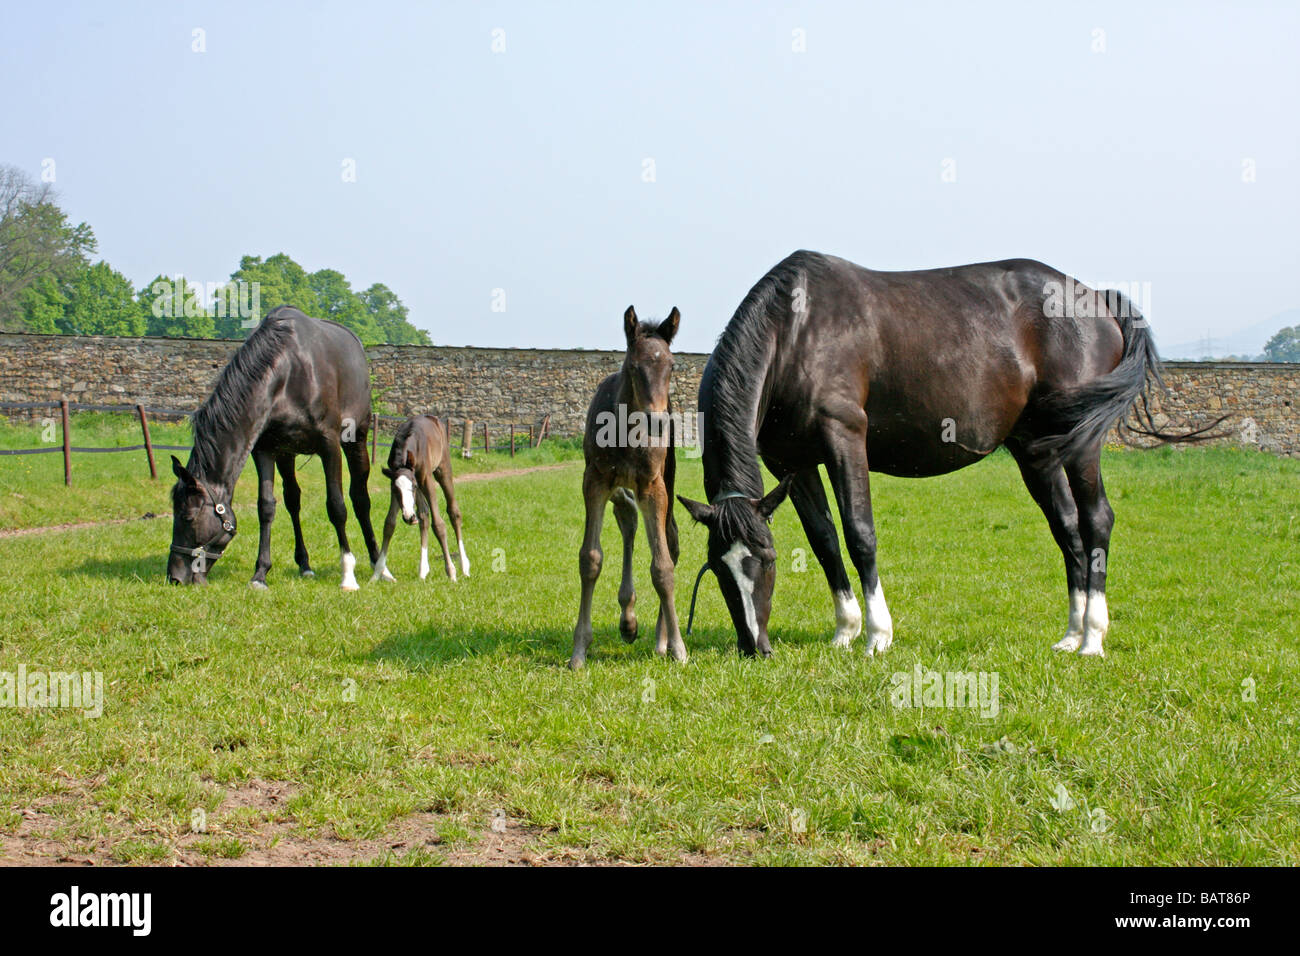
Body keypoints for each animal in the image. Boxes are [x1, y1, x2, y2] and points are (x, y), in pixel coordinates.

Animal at [167, 305, 380, 590]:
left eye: (187, 517)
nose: (175, 577)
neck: (288, 372)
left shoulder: (330, 446)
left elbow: (337, 506)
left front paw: (348, 575)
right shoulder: (264, 450)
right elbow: (266, 507)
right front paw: (260, 573)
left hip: (356, 440)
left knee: (360, 498)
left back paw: (379, 563)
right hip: (287, 454)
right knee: (293, 500)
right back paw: (305, 565)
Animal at [372, 415, 469, 582]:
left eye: (414, 486)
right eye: (396, 489)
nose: (409, 517)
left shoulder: (425, 481)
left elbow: (439, 525)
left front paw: (451, 571)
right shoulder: (395, 484)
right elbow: (389, 524)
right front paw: (377, 573)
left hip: (443, 469)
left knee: (453, 512)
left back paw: (464, 565)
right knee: (423, 515)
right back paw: (423, 570)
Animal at [570, 306, 683, 669]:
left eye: (672, 366)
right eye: (634, 366)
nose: (658, 421)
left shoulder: (652, 485)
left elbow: (662, 565)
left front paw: (677, 648)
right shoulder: (594, 480)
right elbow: (590, 558)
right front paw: (579, 650)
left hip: (666, 476)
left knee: (669, 540)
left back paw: (660, 639)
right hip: (619, 486)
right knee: (628, 522)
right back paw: (628, 621)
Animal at [678, 250, 1218, 659]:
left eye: (766, 561)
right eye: (719, 570)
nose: (755, 647)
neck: (797, 329)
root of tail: (1098, 298)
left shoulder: (843, 437)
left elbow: (859, 534)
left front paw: (877, 636)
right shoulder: (792, 462)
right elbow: (825, 540)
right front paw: (845, 631)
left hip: (1081, 443)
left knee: (1097, 520)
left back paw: (1092, 639)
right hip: (1037, 451)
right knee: (1067, 528)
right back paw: (1070, 634)